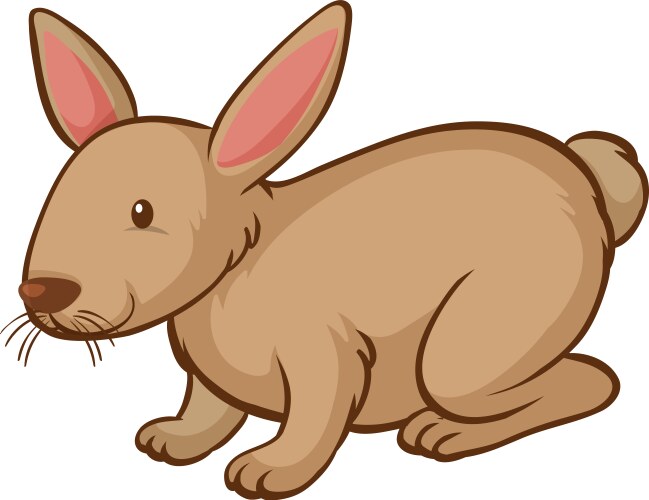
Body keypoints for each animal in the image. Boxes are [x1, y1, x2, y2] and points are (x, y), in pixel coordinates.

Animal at [14, 1, 647, 498]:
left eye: (142, 214)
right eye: (54, 196)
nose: (40, 291)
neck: (234, 270)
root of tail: (588, 183)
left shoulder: (324, 355)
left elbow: (314, 420)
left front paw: (266, 472)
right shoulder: (209, 378)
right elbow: (209, 409)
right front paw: (170, 440)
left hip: (466, 355)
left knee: (592, 381)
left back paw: (444, 434)